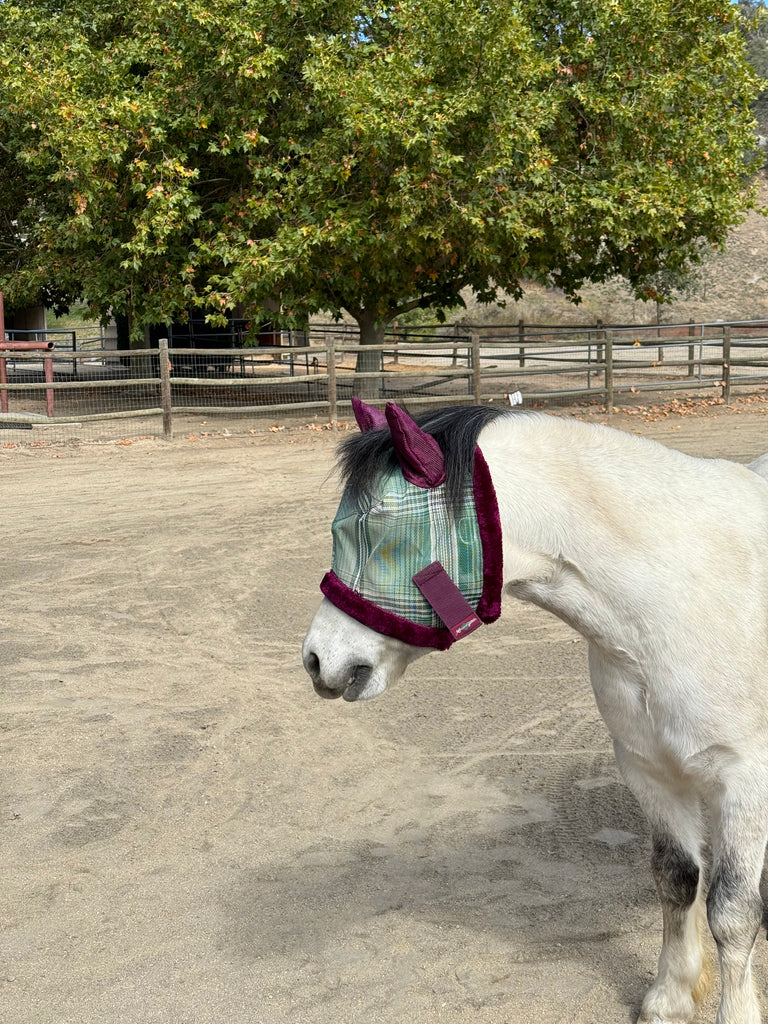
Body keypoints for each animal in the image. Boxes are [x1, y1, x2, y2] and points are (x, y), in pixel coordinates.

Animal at [302, 399, 768, 1024]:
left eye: (382, 534)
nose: (318, 660)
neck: (685, 595)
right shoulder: (650, 770)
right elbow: (677, 881)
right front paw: (671, 996)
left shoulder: (745, 780)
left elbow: (733, 914)